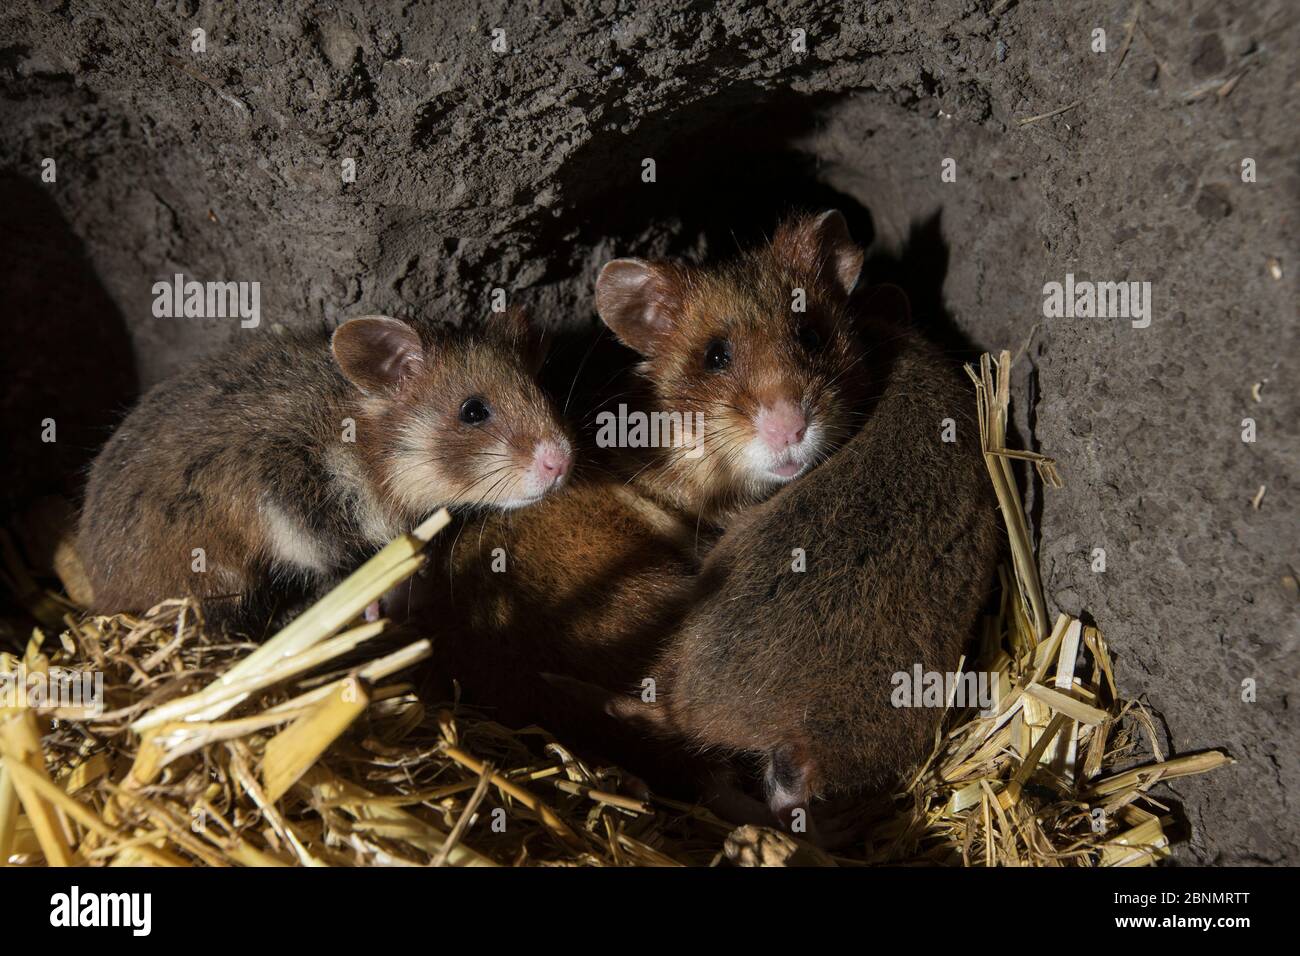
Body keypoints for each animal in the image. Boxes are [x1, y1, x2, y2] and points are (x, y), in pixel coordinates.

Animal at [77, 310, 573, 630]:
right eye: (473, 411)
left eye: (541, 392)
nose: (563, 461)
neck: (368, 444)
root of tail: (100, 593)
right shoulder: (287, 493)